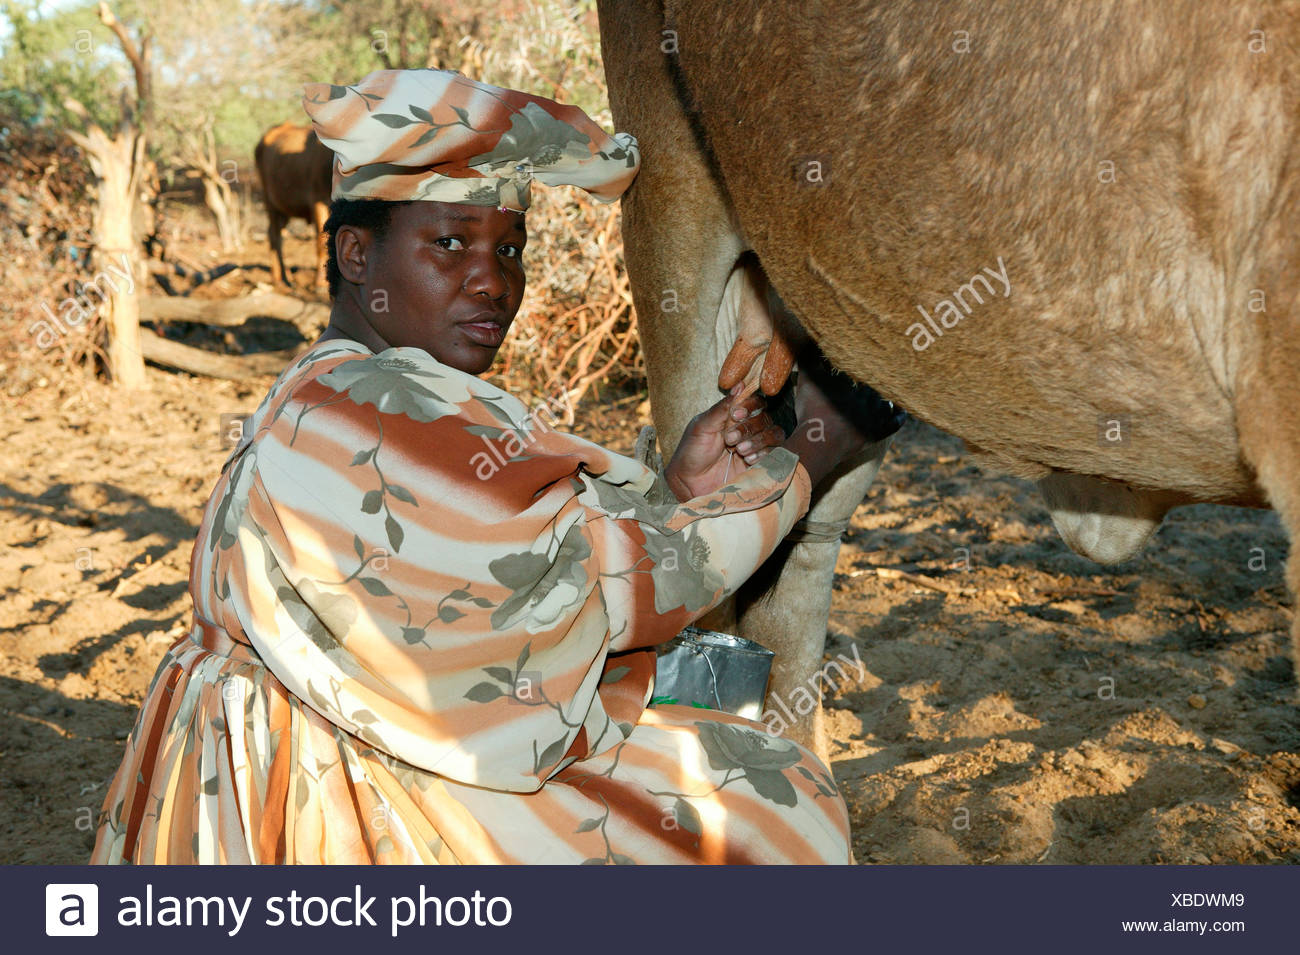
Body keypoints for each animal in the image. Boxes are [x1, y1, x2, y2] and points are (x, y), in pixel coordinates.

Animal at [253, 122, 334, 289]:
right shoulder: (319, 201)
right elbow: (321, 241)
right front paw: (320, 283)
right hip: (269, 200)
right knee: (275, 236)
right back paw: (279, 278)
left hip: (283, 209)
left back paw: (284, 276)